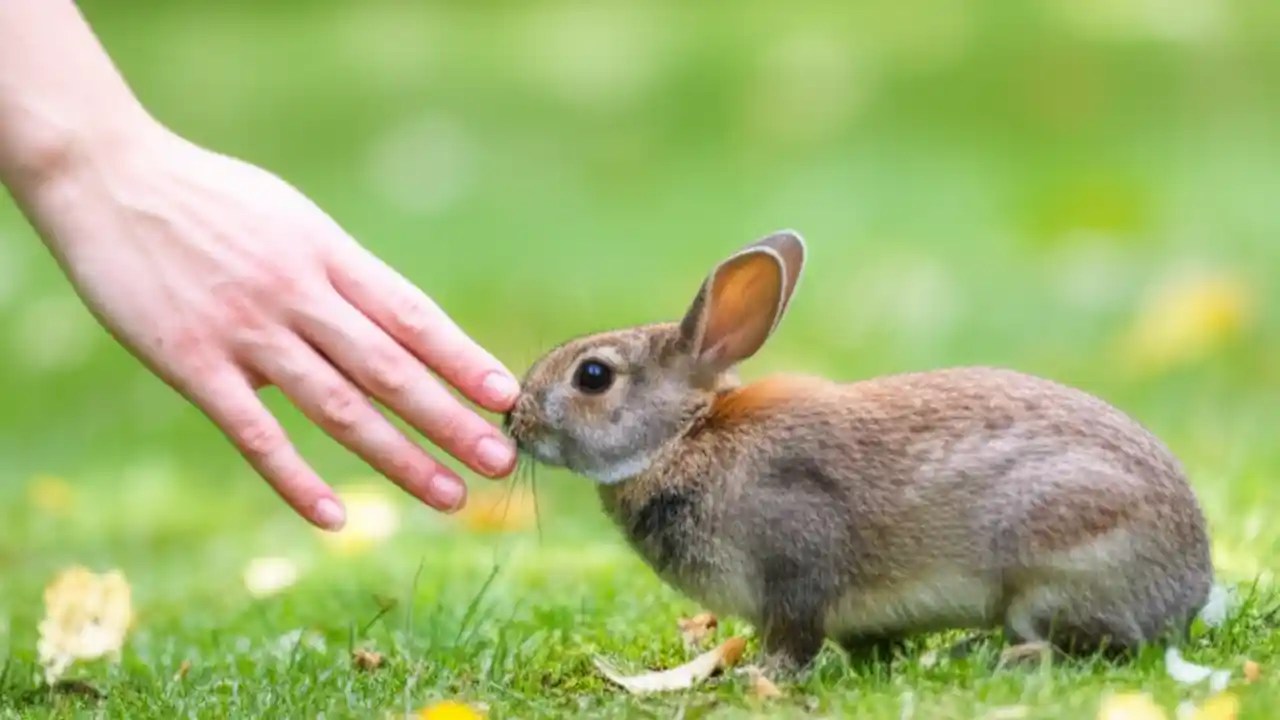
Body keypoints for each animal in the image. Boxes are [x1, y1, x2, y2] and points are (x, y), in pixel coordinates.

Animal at [504, 230, 1214, 671]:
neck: (683, 437)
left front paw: (760, 677)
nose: (515, 419)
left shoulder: (794, 564)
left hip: (1056, 555)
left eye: (593, 377)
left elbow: (794, 635)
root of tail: (1188, 583)